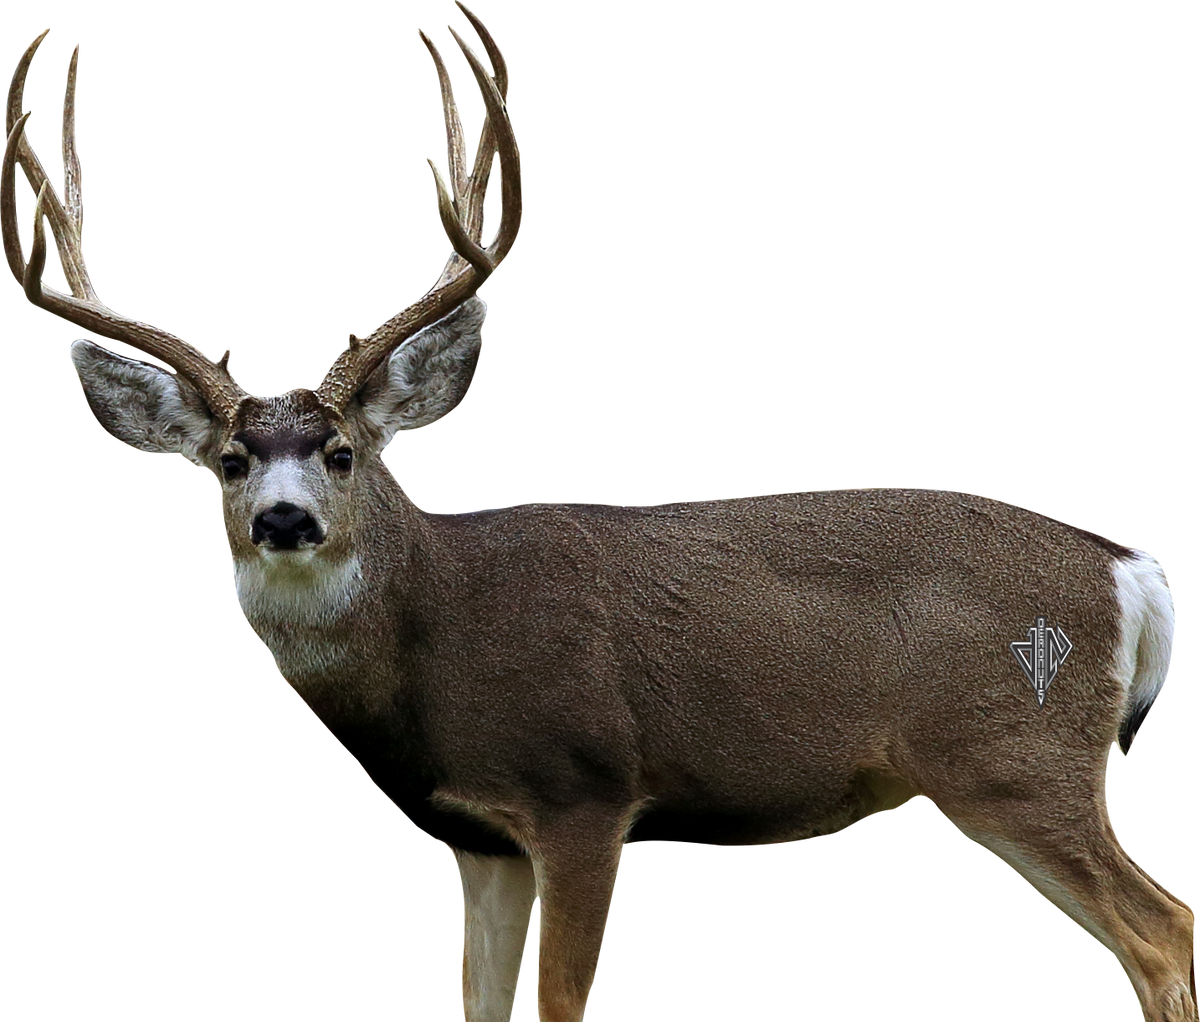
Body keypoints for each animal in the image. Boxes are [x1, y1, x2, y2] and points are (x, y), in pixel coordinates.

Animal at [4, 5, 1195, 1020]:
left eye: (343, 453)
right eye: (229, 462)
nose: (285, 520)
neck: (439, 633)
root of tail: (1128, 566)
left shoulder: (585, 793)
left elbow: (561, 1000)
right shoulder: (476, 839)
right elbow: (481, 1003)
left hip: (1015, 751)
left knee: (1164, 926)